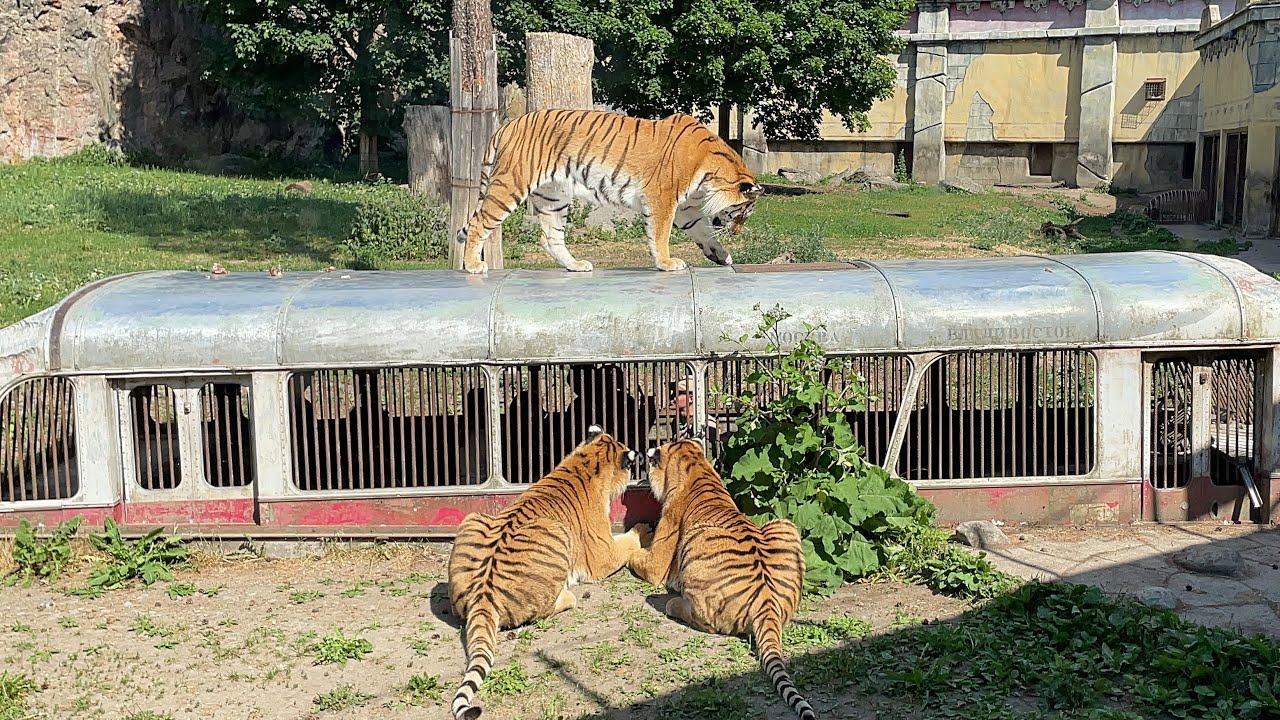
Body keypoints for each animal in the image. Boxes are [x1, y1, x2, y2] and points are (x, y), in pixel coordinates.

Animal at [446, 425, 649, 720]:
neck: (586, 461)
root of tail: (484, 596)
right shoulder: (603, 555)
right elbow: (627, 542)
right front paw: (644, 530)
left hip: (472, 518)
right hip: (558, 533)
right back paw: (568, 595)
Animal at [456, 108, 764, 275]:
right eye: (742, 213)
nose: (737, 232)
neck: (709, 174)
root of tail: (507, 125)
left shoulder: (686, 209)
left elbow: (703, 232)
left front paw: (721, 255)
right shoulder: (663, 198)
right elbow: (660, 235)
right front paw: (666, 262)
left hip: (554, 197)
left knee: (550, 238)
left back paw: (576, 265)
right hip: (510, 185)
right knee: (479, 223)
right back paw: (472, 265)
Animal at [630, 438, 816, 720]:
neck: (696, 466)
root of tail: (766, 605)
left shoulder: (656, 563)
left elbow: (635, 556)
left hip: (697, 546)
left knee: (704, 622)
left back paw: (674, 604)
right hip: (784, 524)